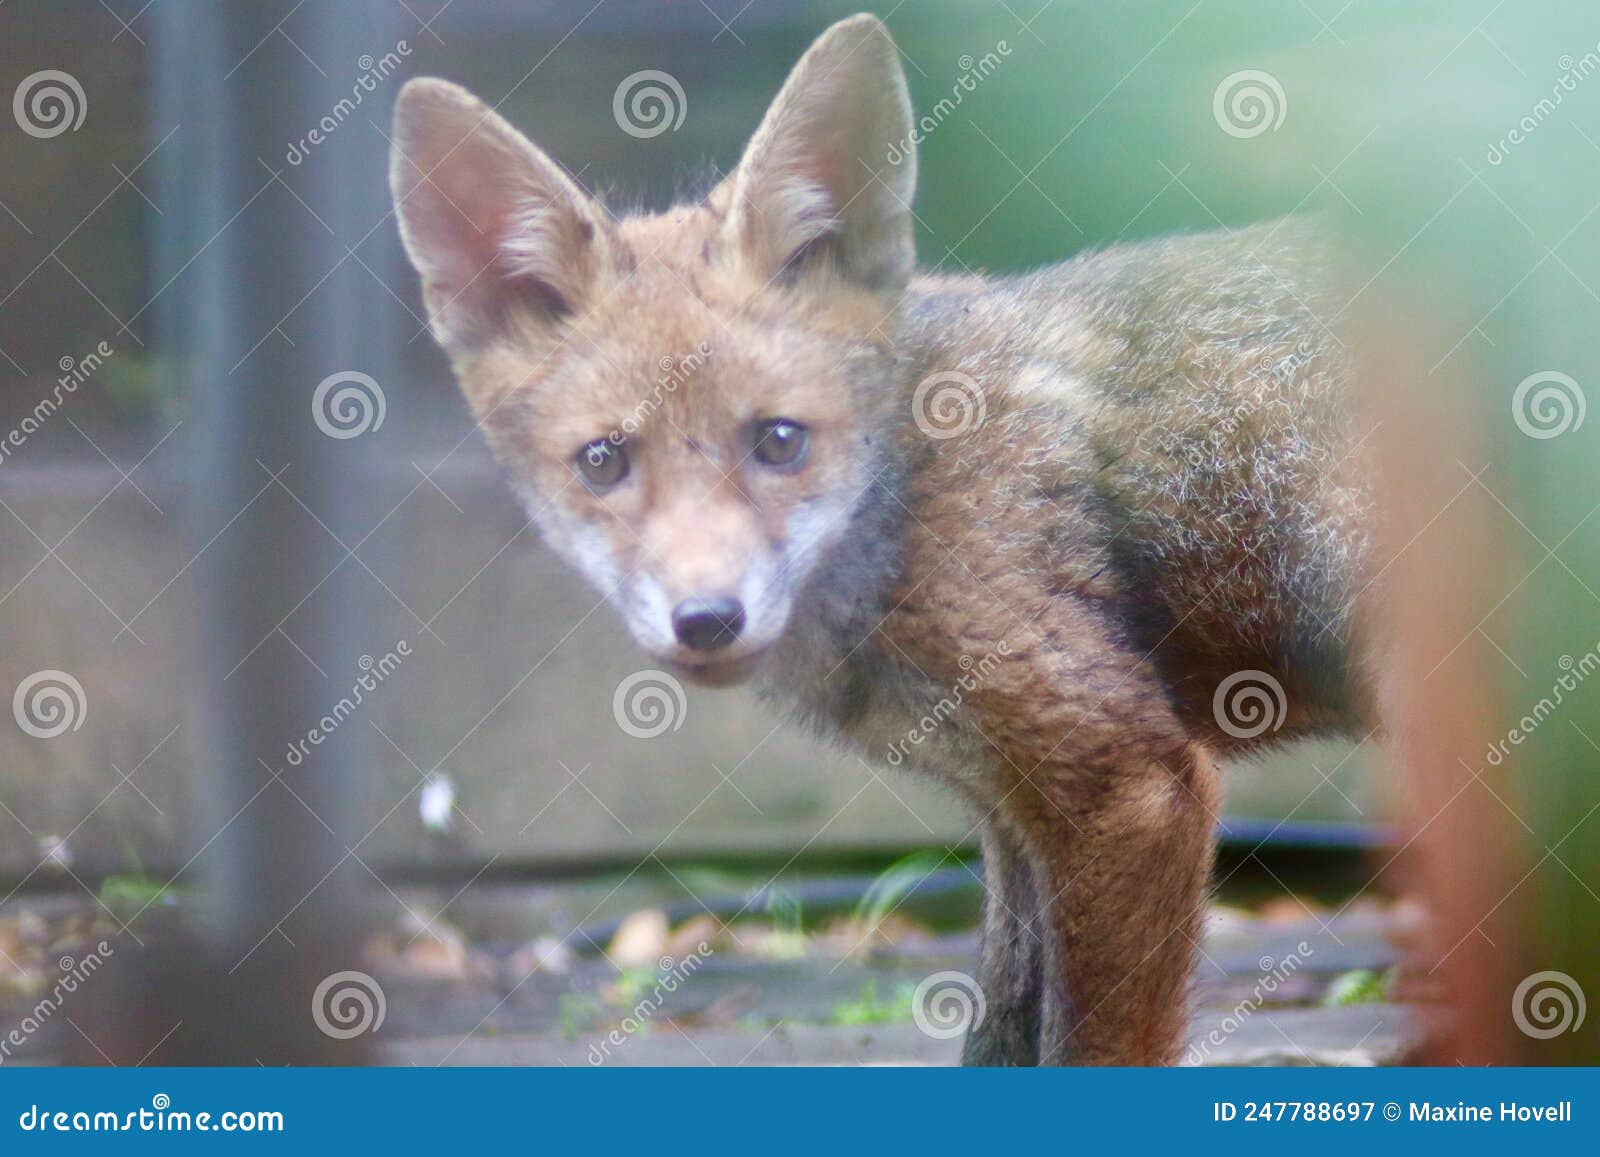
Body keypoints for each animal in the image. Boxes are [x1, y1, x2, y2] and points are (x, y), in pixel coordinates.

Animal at [389, 14, 1376, 1065]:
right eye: (604, 461)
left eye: (780, 441)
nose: (707, 619)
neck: (909, 502)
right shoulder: (1010, 818)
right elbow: (1000, 1036)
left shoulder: (1131, 786)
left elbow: (1093, 1048)